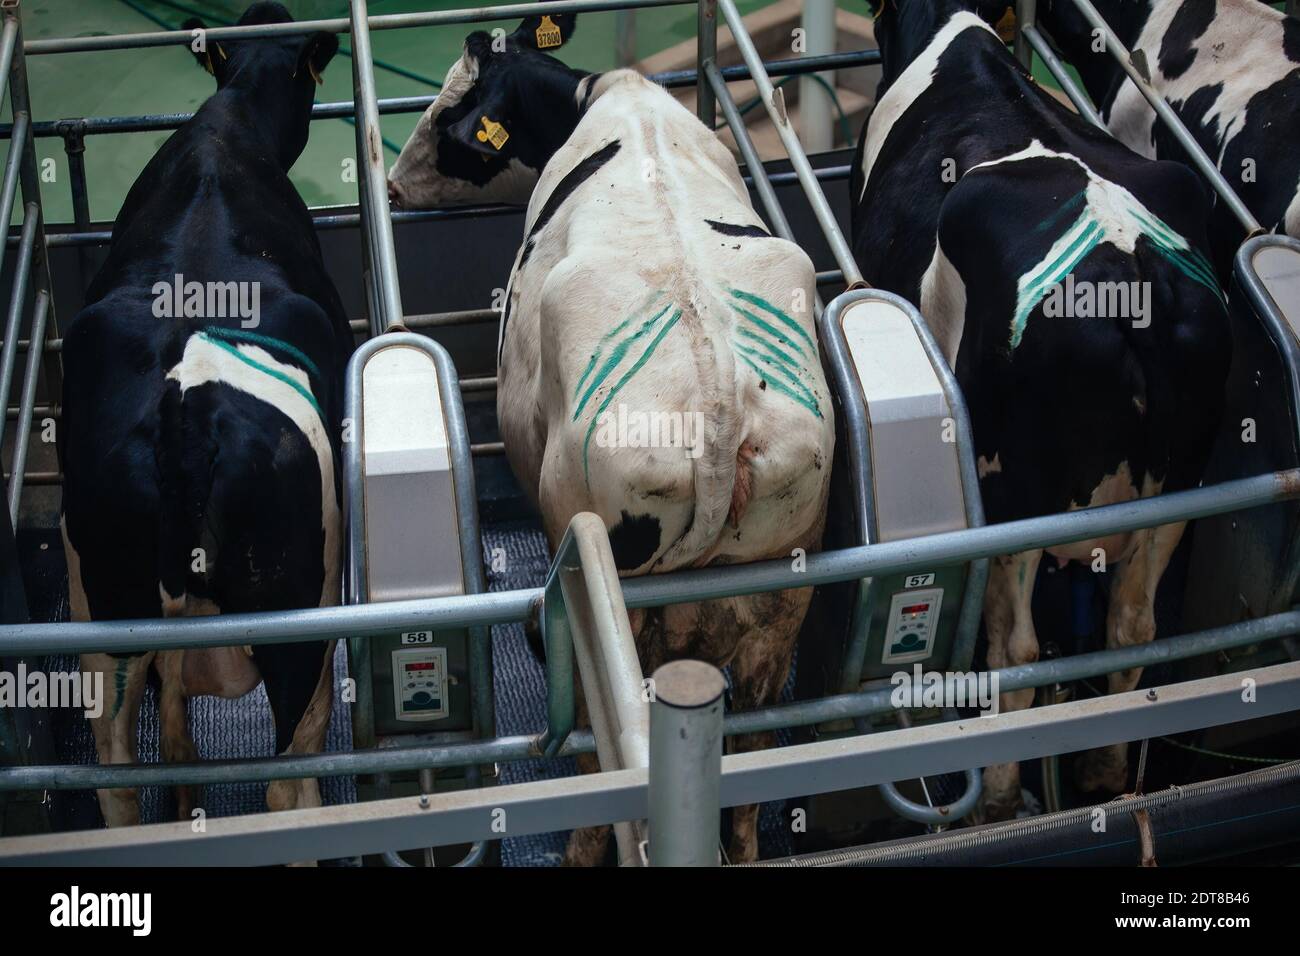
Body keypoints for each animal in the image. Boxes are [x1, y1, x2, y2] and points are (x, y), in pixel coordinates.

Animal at [388, 17, 835, 864]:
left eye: (453, 109)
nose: (392, 183)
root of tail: (719, 410)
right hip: (784, 592)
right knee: (755, 757)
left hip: (598, 600)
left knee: (603, 766)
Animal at [851, 0, 1230, 820]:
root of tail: (1130, 264)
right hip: (1180, 484)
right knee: (1133, 628)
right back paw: (1105, 774)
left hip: (1014, 491)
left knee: (1016, 651)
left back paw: (997, 795)